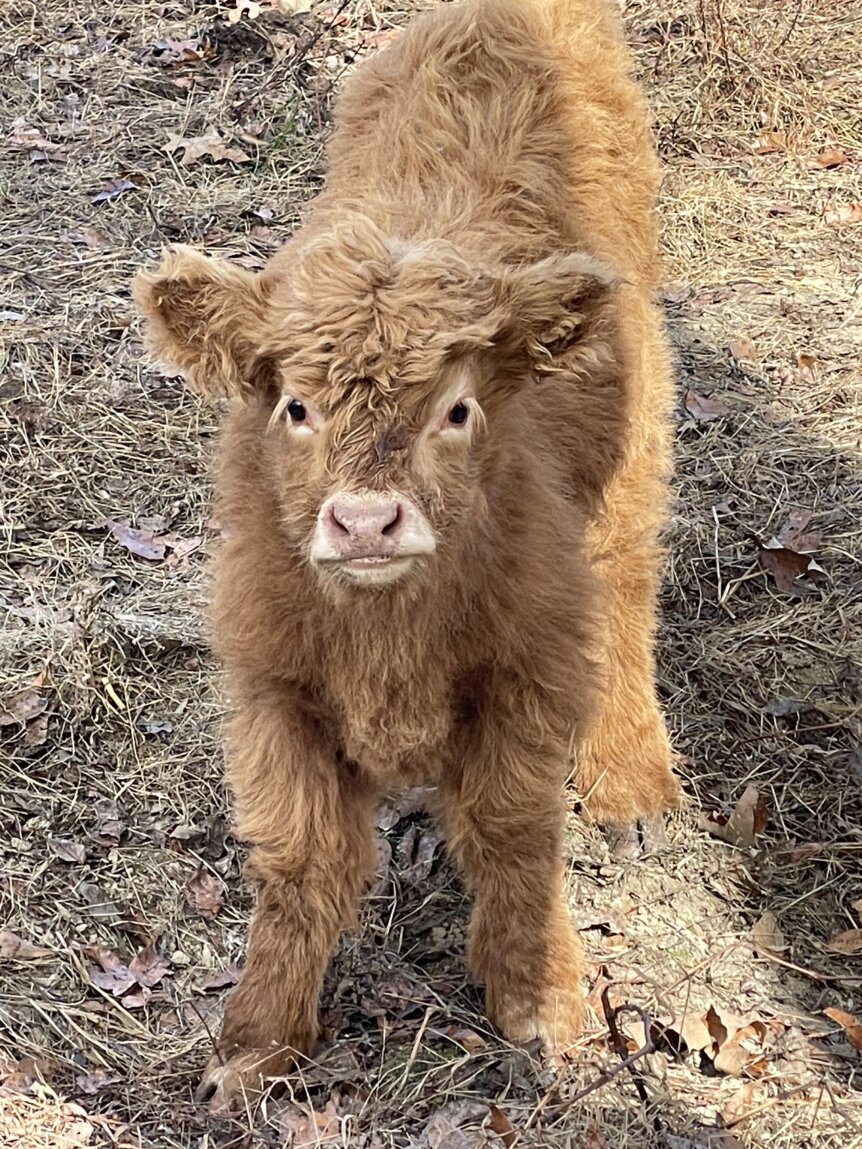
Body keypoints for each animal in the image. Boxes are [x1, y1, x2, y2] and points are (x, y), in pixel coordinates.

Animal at [133, 0, 678, 1112]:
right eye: (296, 408)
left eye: (457, 410)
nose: (364, 523)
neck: (392, 639)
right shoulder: (272, 683)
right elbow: (298, 857)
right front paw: (257, 1039)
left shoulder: (530, 669)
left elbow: (514, 830)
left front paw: (540, 996)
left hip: (638, 433)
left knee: (628, 579)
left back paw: (632, 785)